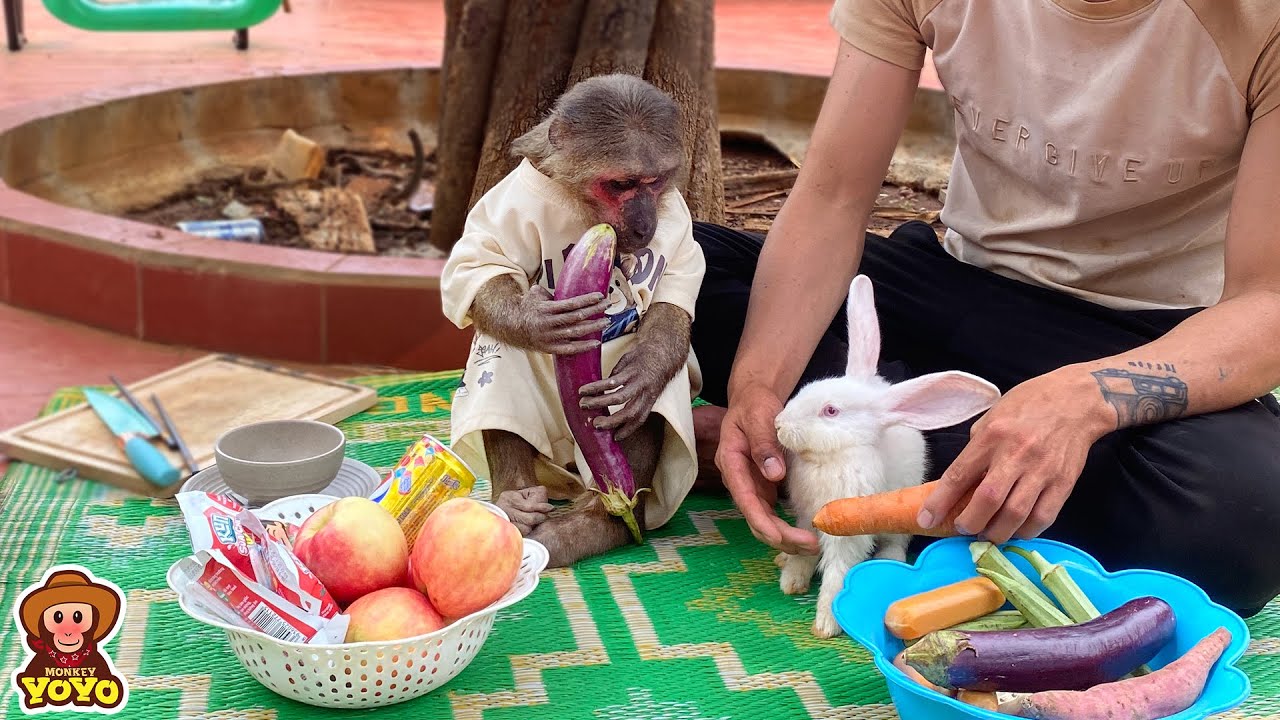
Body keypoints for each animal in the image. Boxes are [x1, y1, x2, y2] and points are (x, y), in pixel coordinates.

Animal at [773, 274, 1002, 638]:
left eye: (831, 411)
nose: (778, 425)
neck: (832, 458)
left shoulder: (846, 532)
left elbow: (838, 572)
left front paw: (826, 623)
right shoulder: (807, 517)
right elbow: (804, 553)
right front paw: (792, 579)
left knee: (896, 541)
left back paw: (892, 561)